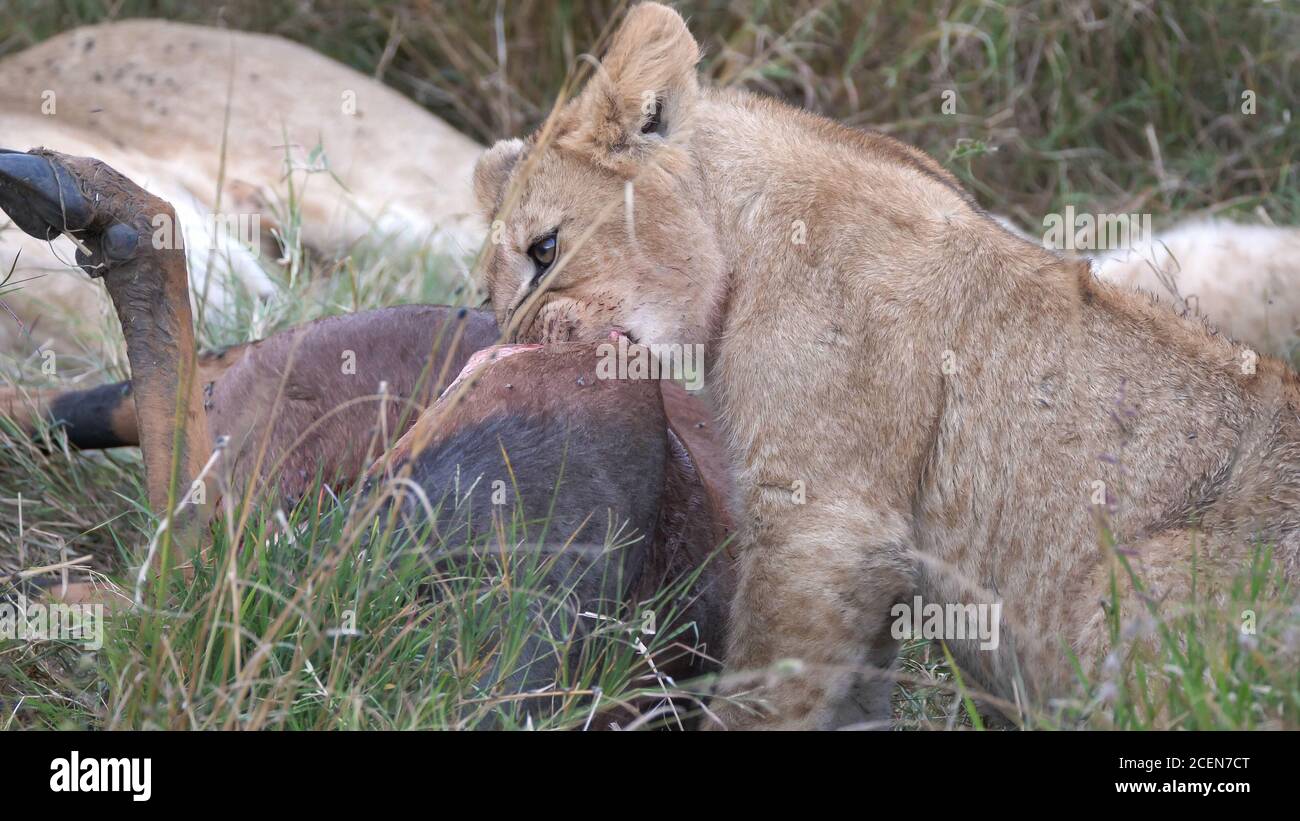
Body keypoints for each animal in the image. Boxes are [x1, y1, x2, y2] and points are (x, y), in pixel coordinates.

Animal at [471, 2, 1300, 729]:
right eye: (489, 293)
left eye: (545, 248)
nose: (519, 345)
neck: (746, 233)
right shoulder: (868, 564)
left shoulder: (823, 523)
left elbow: (763, 693)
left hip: (1131, 585)